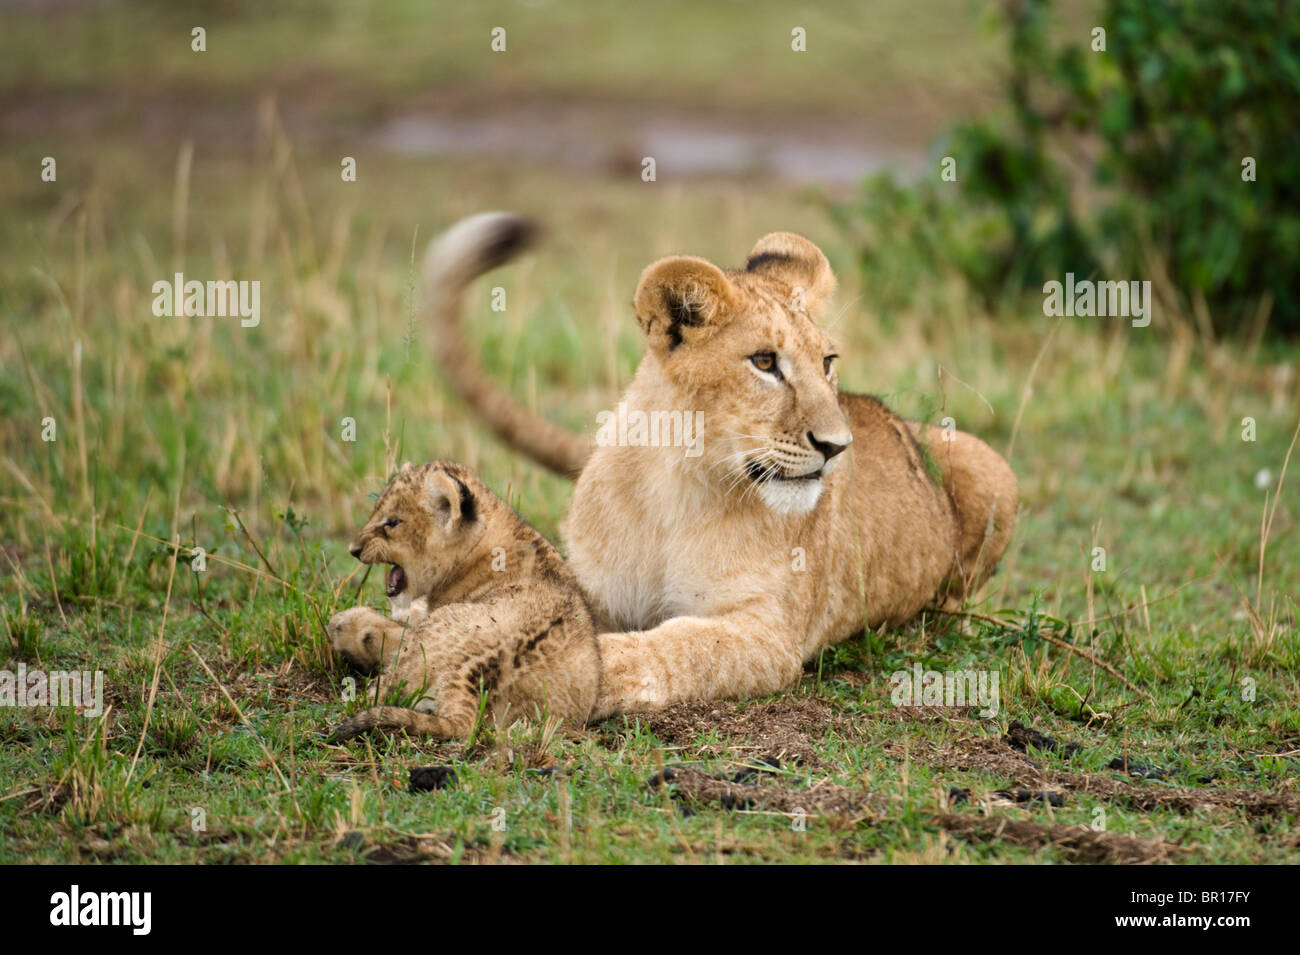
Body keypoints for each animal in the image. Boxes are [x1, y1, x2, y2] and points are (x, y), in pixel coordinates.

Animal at [423, 212, 1018, 718]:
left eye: (827, 362)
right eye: (764, 362)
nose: (837, 446)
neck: (677, 488)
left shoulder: (769, 634)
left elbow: (679, 646)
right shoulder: (593, 589)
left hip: (992, 468)